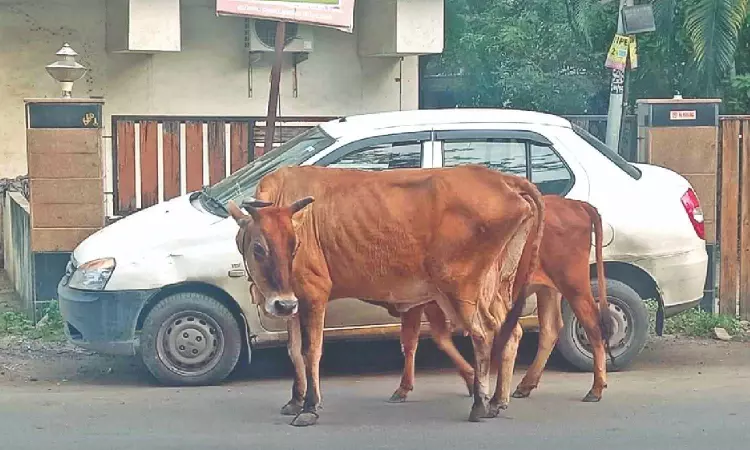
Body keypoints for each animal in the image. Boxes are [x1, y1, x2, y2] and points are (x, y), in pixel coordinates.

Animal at [227, 164, 544, 426]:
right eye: (258, 247)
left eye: (295, 245)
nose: (282, 303)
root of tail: (502, 179)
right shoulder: (293, 302)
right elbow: (293, 351)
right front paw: (295, 400)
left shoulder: (313, 295)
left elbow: (310, 351)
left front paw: (310, 408)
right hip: (494, 288)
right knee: (509, 332)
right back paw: (497, 401)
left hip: (460, 290)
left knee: (483, 334)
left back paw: (480, 404)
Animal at [385, 195, 616, 407]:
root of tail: (575, 203)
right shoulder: (431, 302)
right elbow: (439, 338)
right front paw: (471, 378)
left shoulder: (416, 301)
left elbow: (411, 341)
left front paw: (403, 388)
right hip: (547, 289)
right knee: (550, 329)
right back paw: (525, 385)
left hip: (574, 284)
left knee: (593, 326)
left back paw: (596, 388)